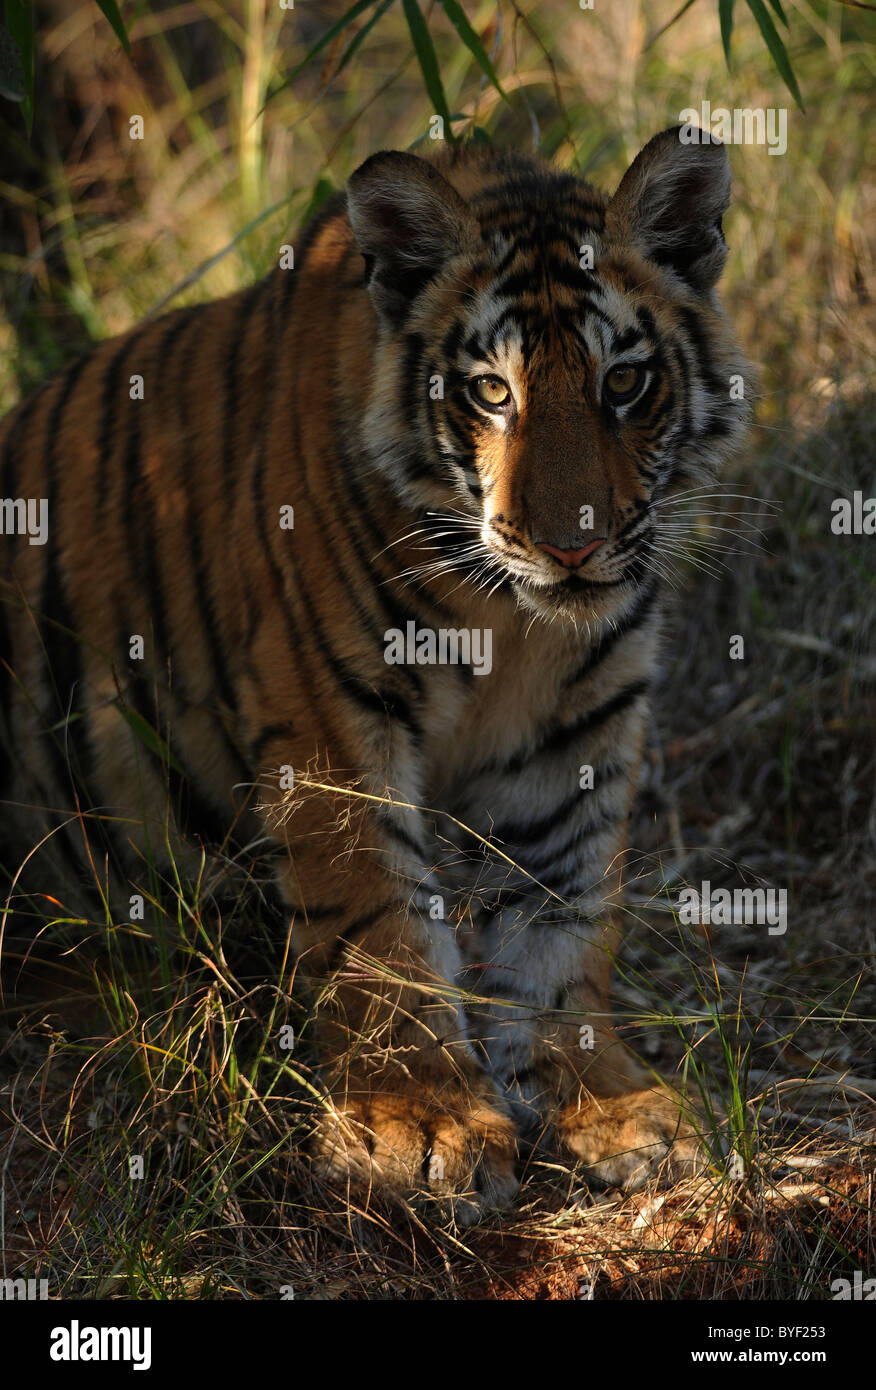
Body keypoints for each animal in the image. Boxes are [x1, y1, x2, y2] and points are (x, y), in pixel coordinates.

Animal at [0, 126, 749, 1224]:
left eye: (624, 383)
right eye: (492, 391)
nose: (573, 547)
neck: (513, 621)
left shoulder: (579, 729)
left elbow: (563, 917)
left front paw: (603, 1103)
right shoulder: (327, 707)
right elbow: (378, 918)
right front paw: (421, 1126)